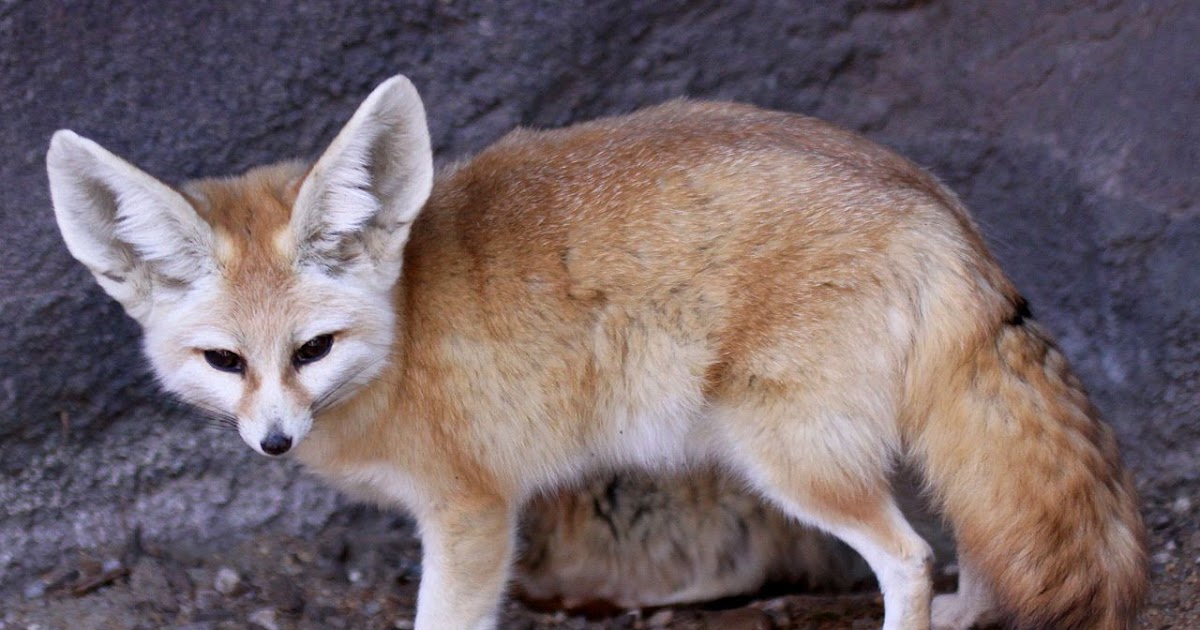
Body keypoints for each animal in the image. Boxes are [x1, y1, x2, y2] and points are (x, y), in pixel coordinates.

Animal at [47, 74, 1147, 629]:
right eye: (225, 363)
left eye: (314, 348)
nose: (274, 441)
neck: (402, 334)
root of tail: (928, 197)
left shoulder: (473, 511)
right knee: (971, 541)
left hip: (791, 459)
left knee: (910, 558)